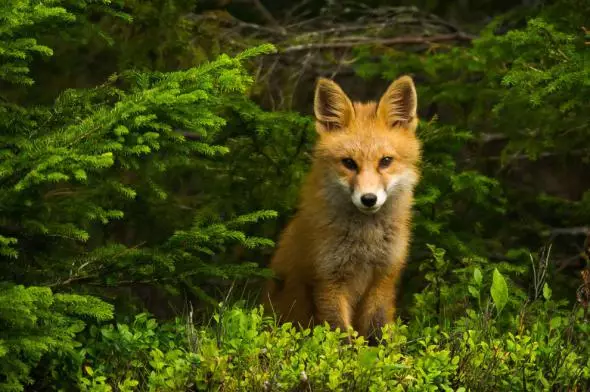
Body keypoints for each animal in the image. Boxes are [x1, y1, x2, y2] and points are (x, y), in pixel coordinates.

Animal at [262, 74, 420, 344]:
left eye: (385, 161)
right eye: (349, 163)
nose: (369, 199)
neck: (365, 244)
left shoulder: (383, 278)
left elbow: (378, 331)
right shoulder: (328, 280)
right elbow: (340, 335)